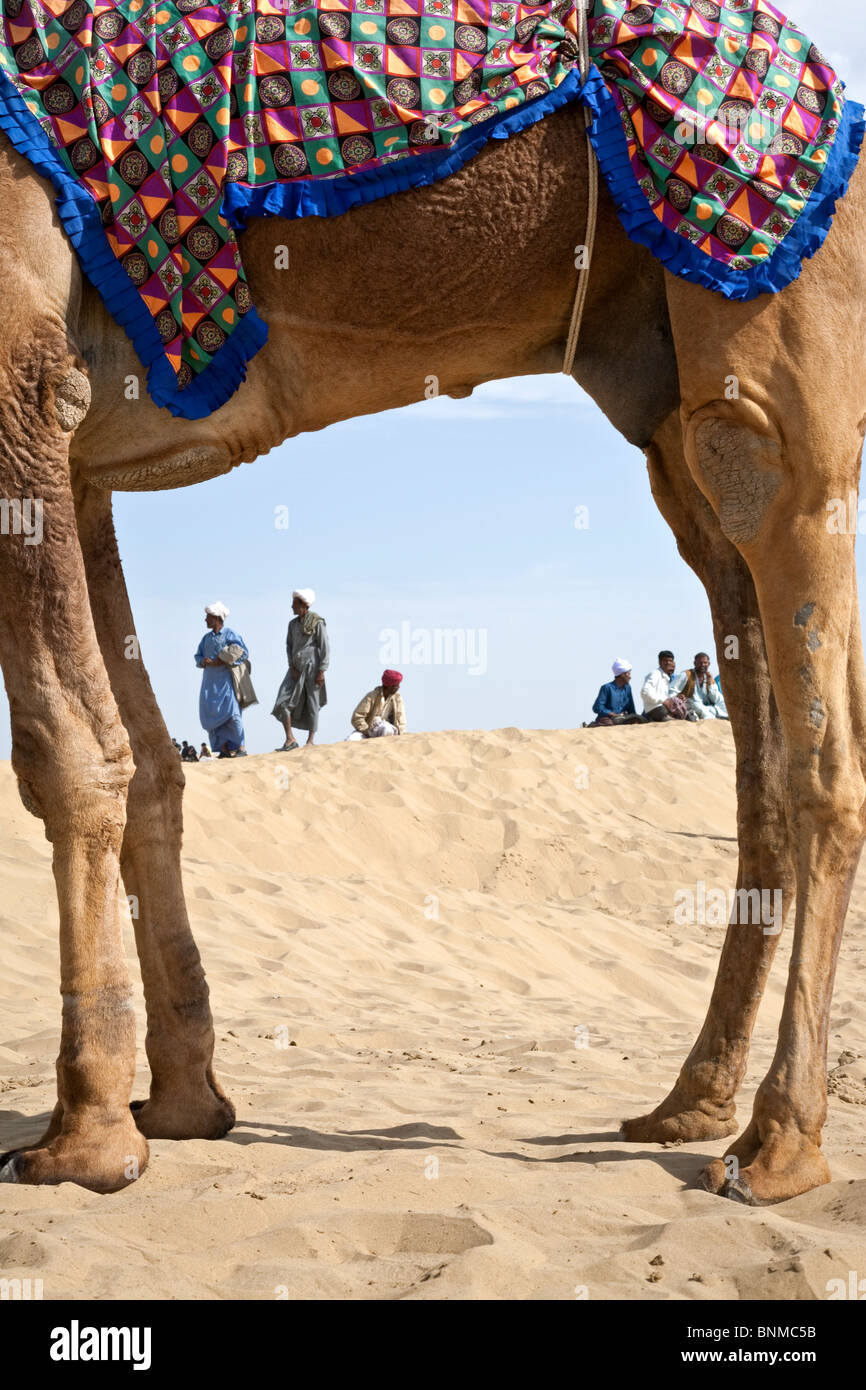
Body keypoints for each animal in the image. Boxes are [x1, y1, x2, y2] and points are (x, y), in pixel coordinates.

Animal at [0, 94, 864, 1202]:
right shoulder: (78, 445)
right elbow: (146, 759)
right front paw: (186, 1104)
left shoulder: (21, 366)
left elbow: (67, 752)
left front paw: (85, 1141)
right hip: (667, 394)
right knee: (749, 702)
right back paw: (689, 1106)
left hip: (777, 327)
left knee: (816, 730)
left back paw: (777, 1147)